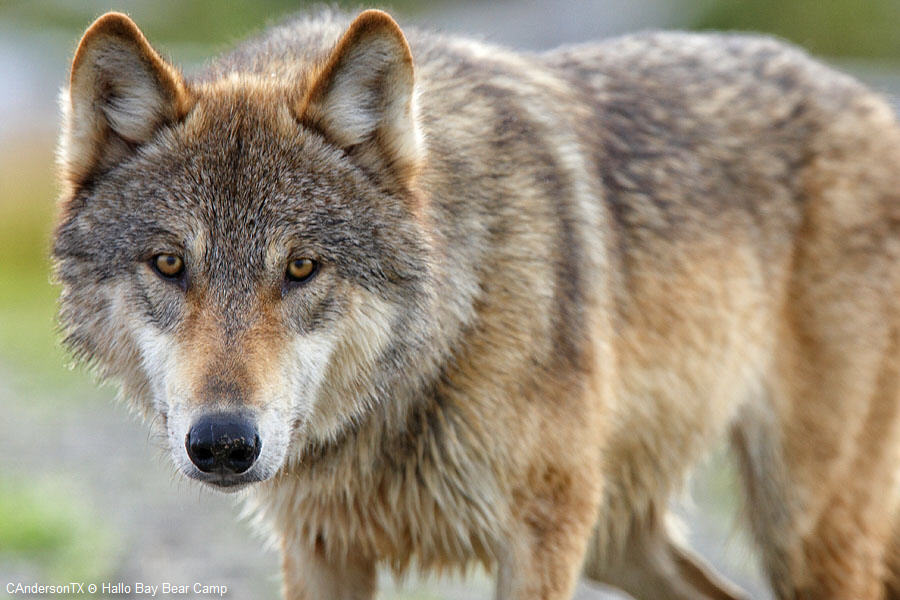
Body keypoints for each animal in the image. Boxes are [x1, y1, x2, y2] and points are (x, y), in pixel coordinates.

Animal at [53, 7, 900, 600]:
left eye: (301, 267)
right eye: (169, 264)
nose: (224, 443)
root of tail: (871, 104)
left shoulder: (541, 536)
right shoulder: (320, 548)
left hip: (798, 531)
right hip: (625, 541)